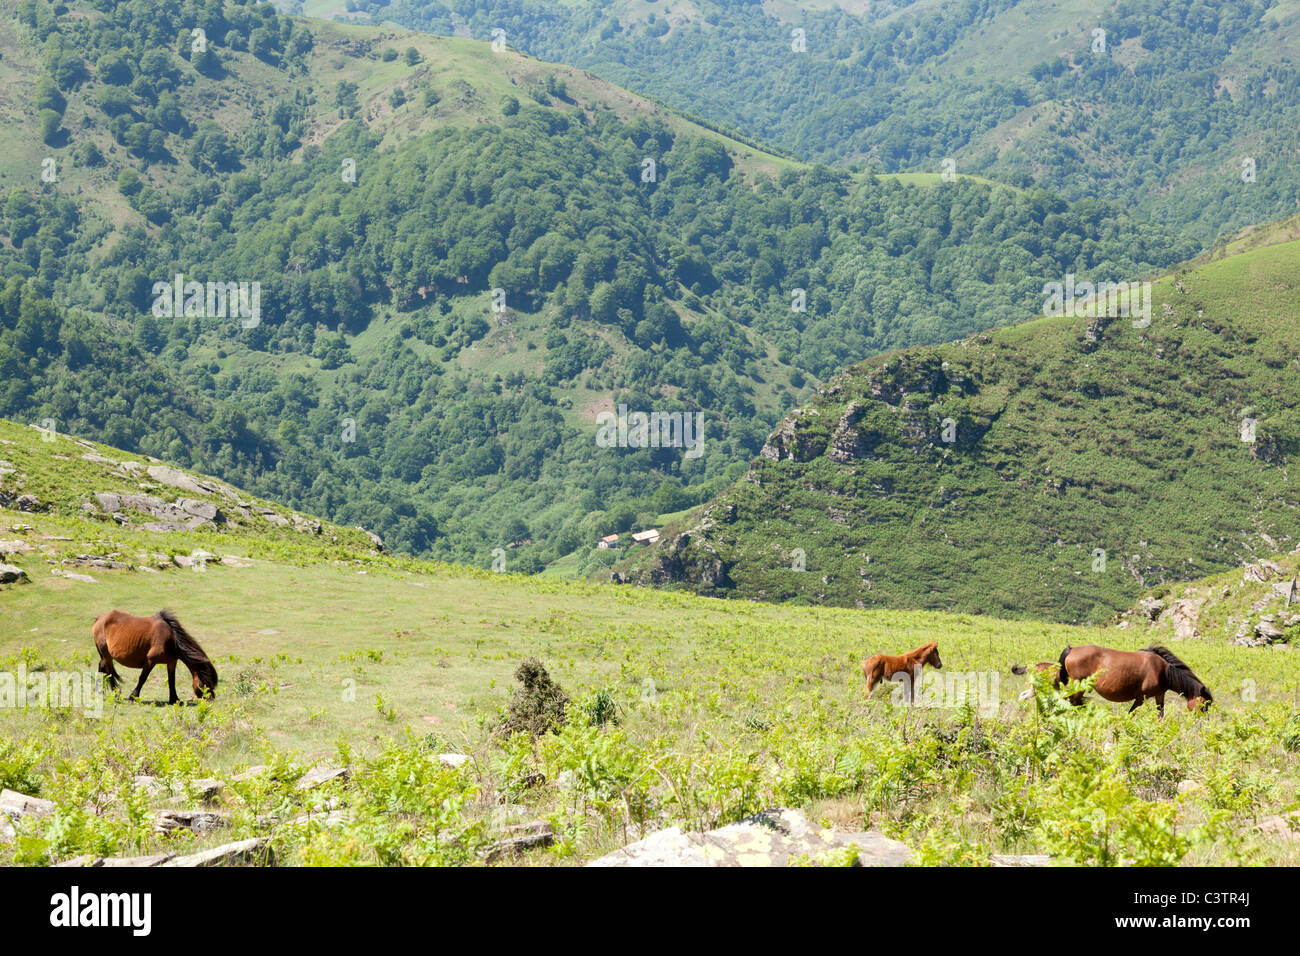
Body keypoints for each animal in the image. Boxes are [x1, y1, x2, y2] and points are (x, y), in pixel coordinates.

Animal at [1054, 644, 1211, 716]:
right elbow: (1131, 713)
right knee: (1071, 702)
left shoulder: (1159, 695)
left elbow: (1160, 715)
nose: (1201, 723)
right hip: (1077, 686)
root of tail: (1072, 649)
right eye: (1204, 704)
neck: (1162, 671)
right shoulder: (1141, 698)